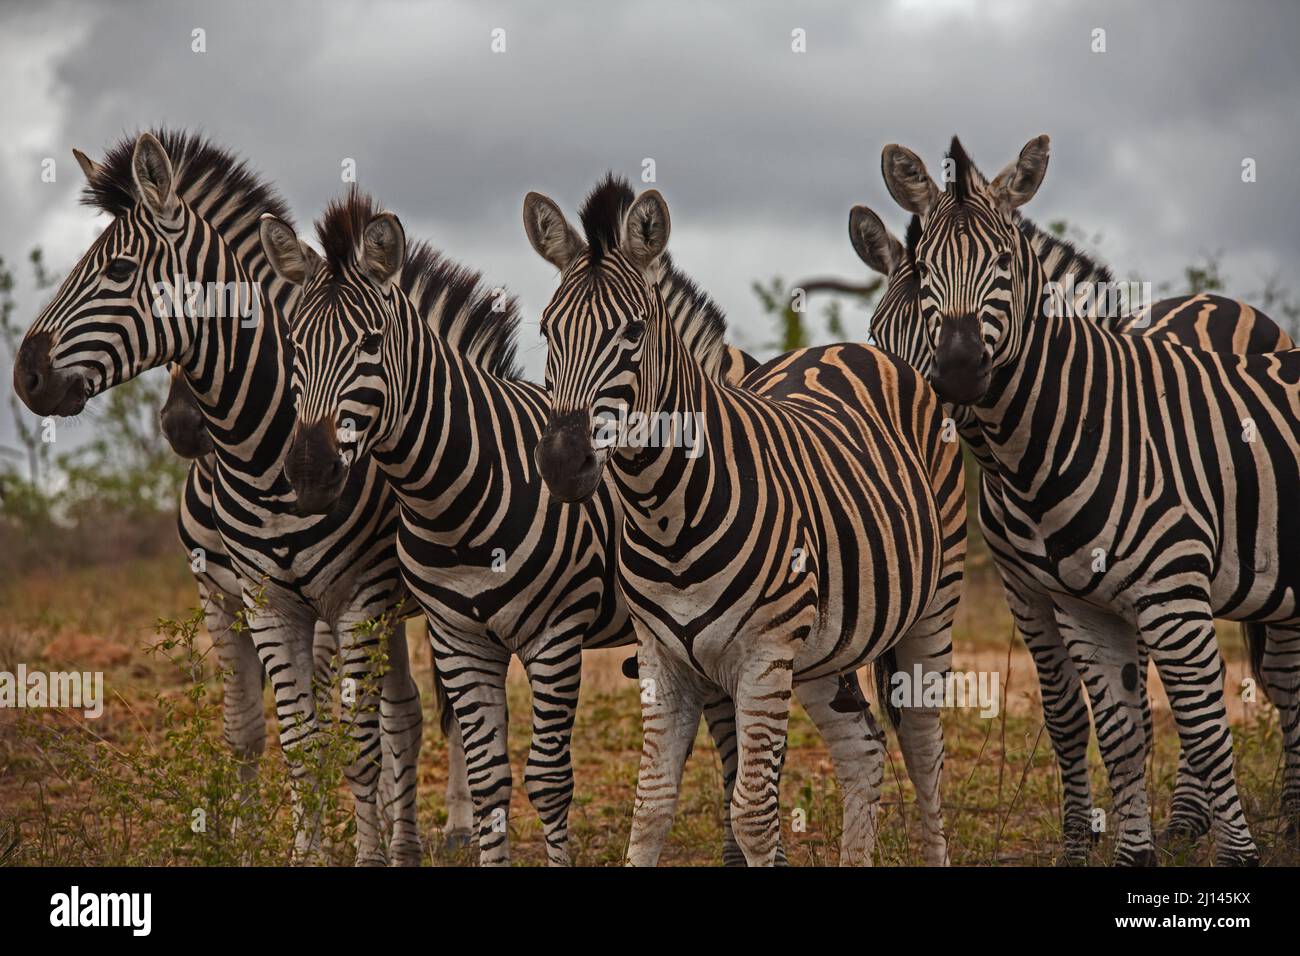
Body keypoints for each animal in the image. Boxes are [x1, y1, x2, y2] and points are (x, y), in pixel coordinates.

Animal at [13, 130, 424, 865]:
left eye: (118, 271)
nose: (25, 375)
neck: (262, 456)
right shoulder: (248, 597)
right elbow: (278, 738)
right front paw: (275, 848)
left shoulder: (351, 598)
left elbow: (350, 746)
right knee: (403, 710)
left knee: (411, 716)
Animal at [524, 176, 967, 866]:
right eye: (547, 332)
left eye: (633, 331)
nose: (562, 463)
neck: (665, 515)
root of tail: (852, 347)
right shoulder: (663, 662)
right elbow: (650, 809)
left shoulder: (763, 655)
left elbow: (754, 815)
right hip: (823, 648)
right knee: (862, 751)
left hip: (929, 607)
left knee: (923, 748)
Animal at [879, 132, 1300, 865]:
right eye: (928, 270)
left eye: (1004, 264)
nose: (954, 372)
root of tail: (1223, 302)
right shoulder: (1054, 595)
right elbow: (1103, 724)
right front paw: (1116, 847)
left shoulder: (1166, 589)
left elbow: (1201, 724)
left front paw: (1233, 856)